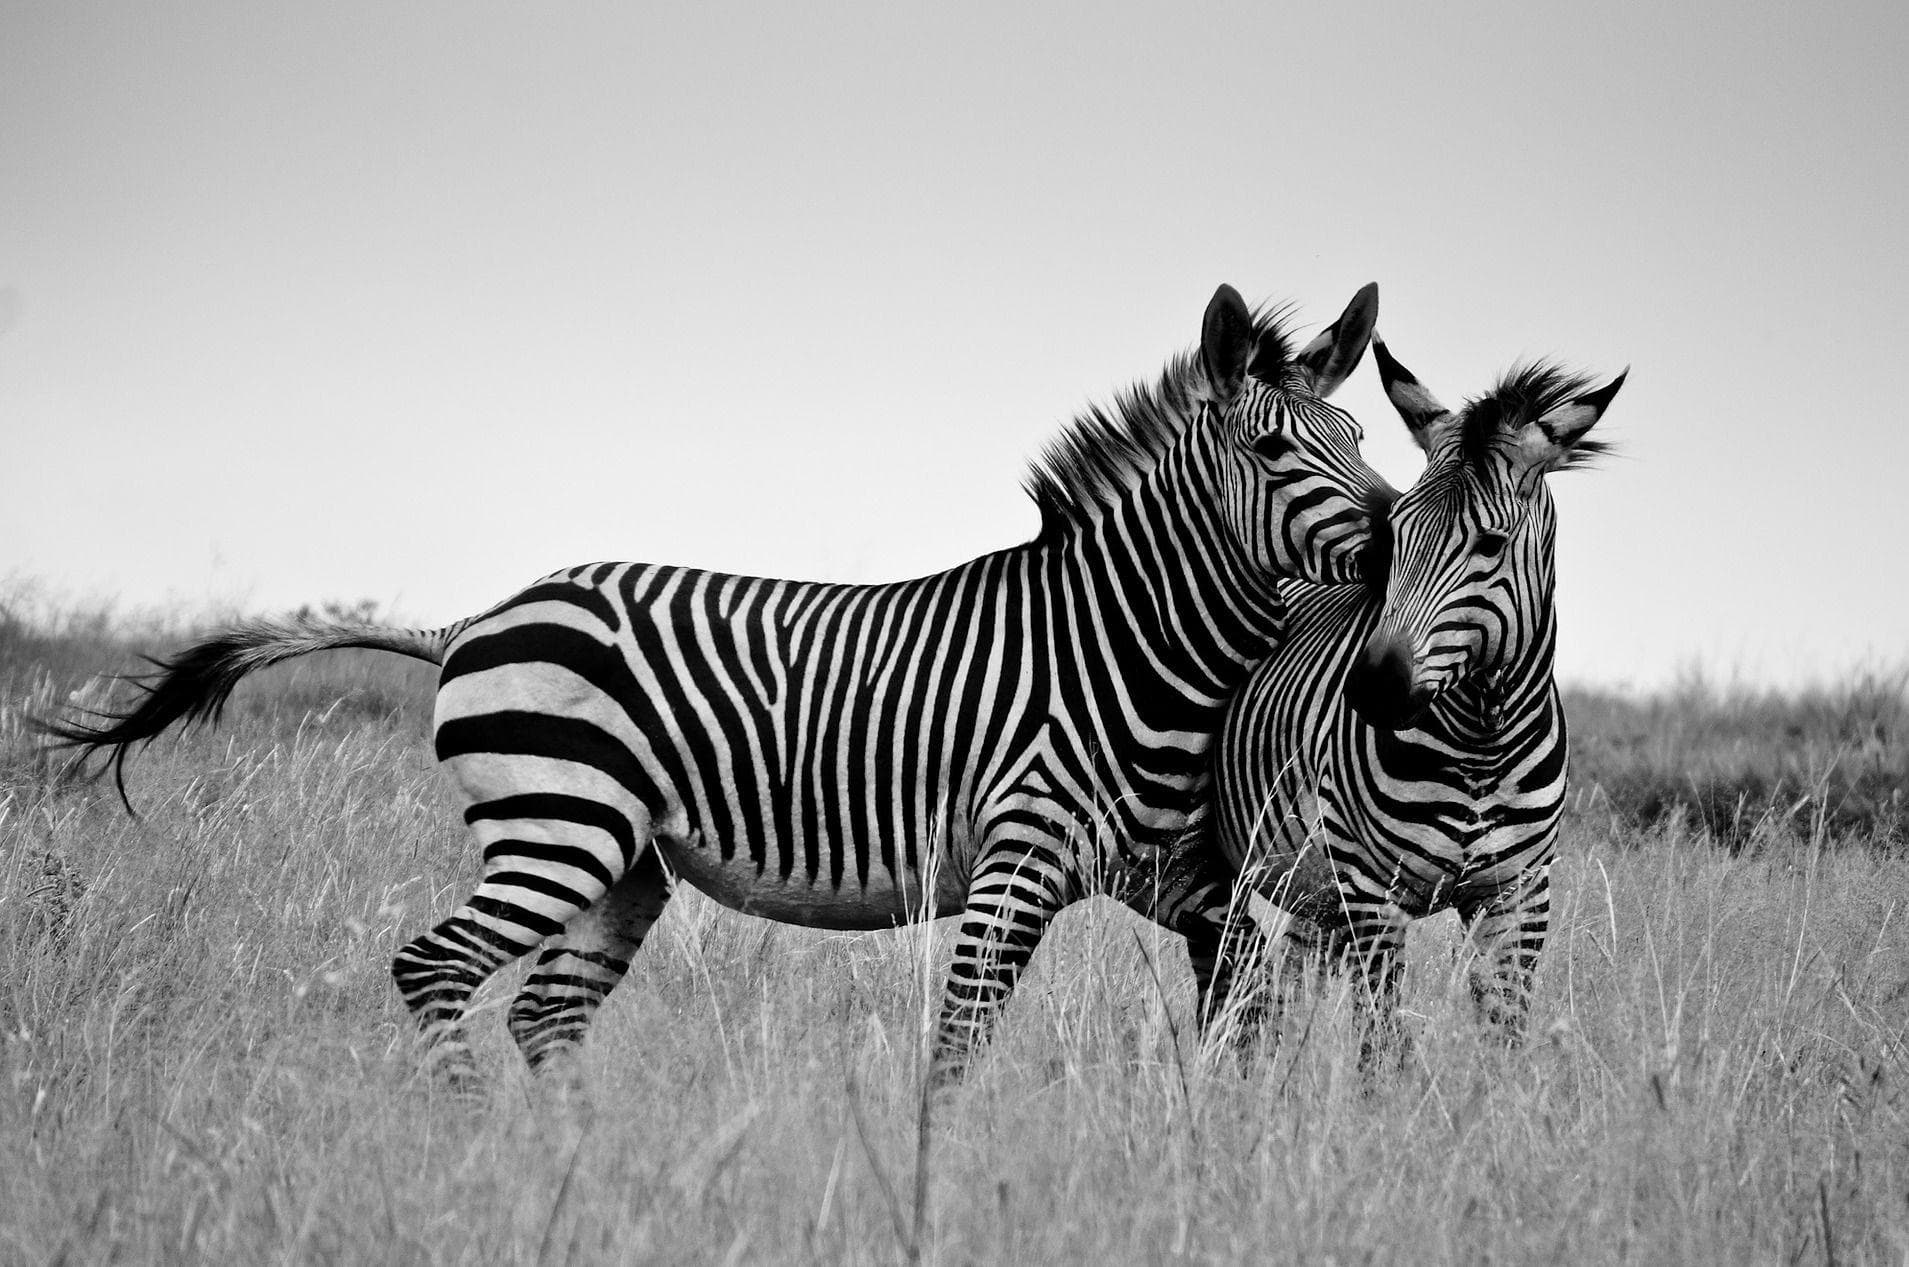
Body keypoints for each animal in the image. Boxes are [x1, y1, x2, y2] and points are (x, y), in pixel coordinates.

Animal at [44, 284, 1389, 1091]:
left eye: (1362, 440)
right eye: (1275, 450)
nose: (1395, 538)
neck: (1129, 643)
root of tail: (473, 616)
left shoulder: (1176, 874)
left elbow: (1253, 1000)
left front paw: (1234, 1133)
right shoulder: (1015, 867)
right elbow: (955, 1046)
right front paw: (941, 1170)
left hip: (621, 860)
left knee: (542, 1013)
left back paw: (568, 1167)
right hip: (561, 827)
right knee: (436, 970)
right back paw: (472, 1139)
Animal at [1183, 328, 1618, 1060]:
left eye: (1491, 543)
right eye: (1396, 531)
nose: (1371, 687)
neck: (1481, 740)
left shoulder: (1518, 897)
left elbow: (1503, 1041)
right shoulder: (1372, 892)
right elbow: (1381, 1051)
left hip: (1313, 888)